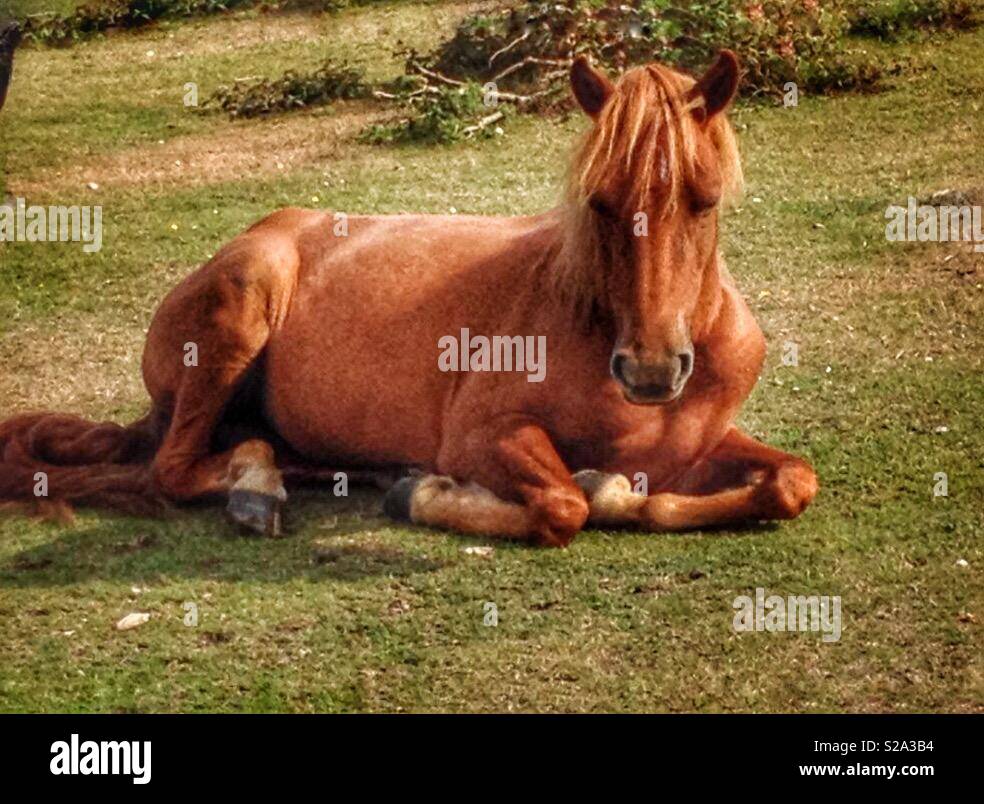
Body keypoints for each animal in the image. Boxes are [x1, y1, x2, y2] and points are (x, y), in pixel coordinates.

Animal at [0, 51, 818, 547]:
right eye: (600, 201)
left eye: (704, 200)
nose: (650, 372)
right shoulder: (482, 435)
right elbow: (564, 506)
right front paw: (428, 497)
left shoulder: (699, 449)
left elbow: (789, 482)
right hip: (242, 302)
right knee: (175, 467)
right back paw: (261, 490)